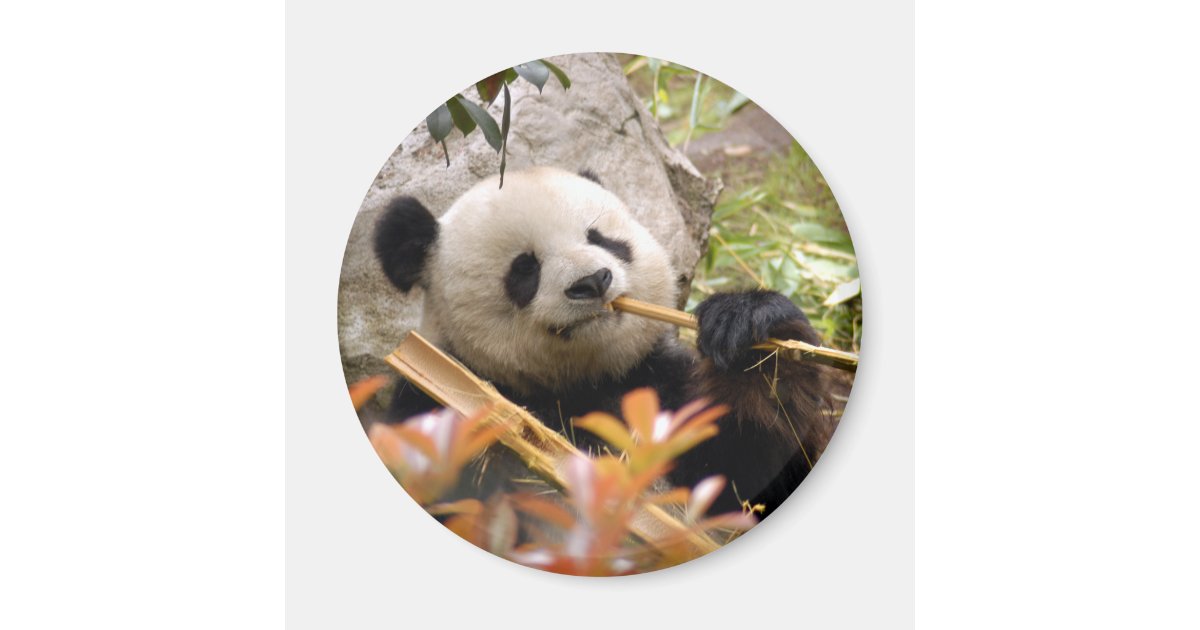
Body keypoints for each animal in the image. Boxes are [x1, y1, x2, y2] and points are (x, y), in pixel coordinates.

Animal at [374, 166, 838, 518]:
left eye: (602, 239)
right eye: (524, 267)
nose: (593, 282)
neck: (580, 382)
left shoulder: (655, 384)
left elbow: (748, 473)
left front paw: (749, 331)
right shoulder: (432, 399)